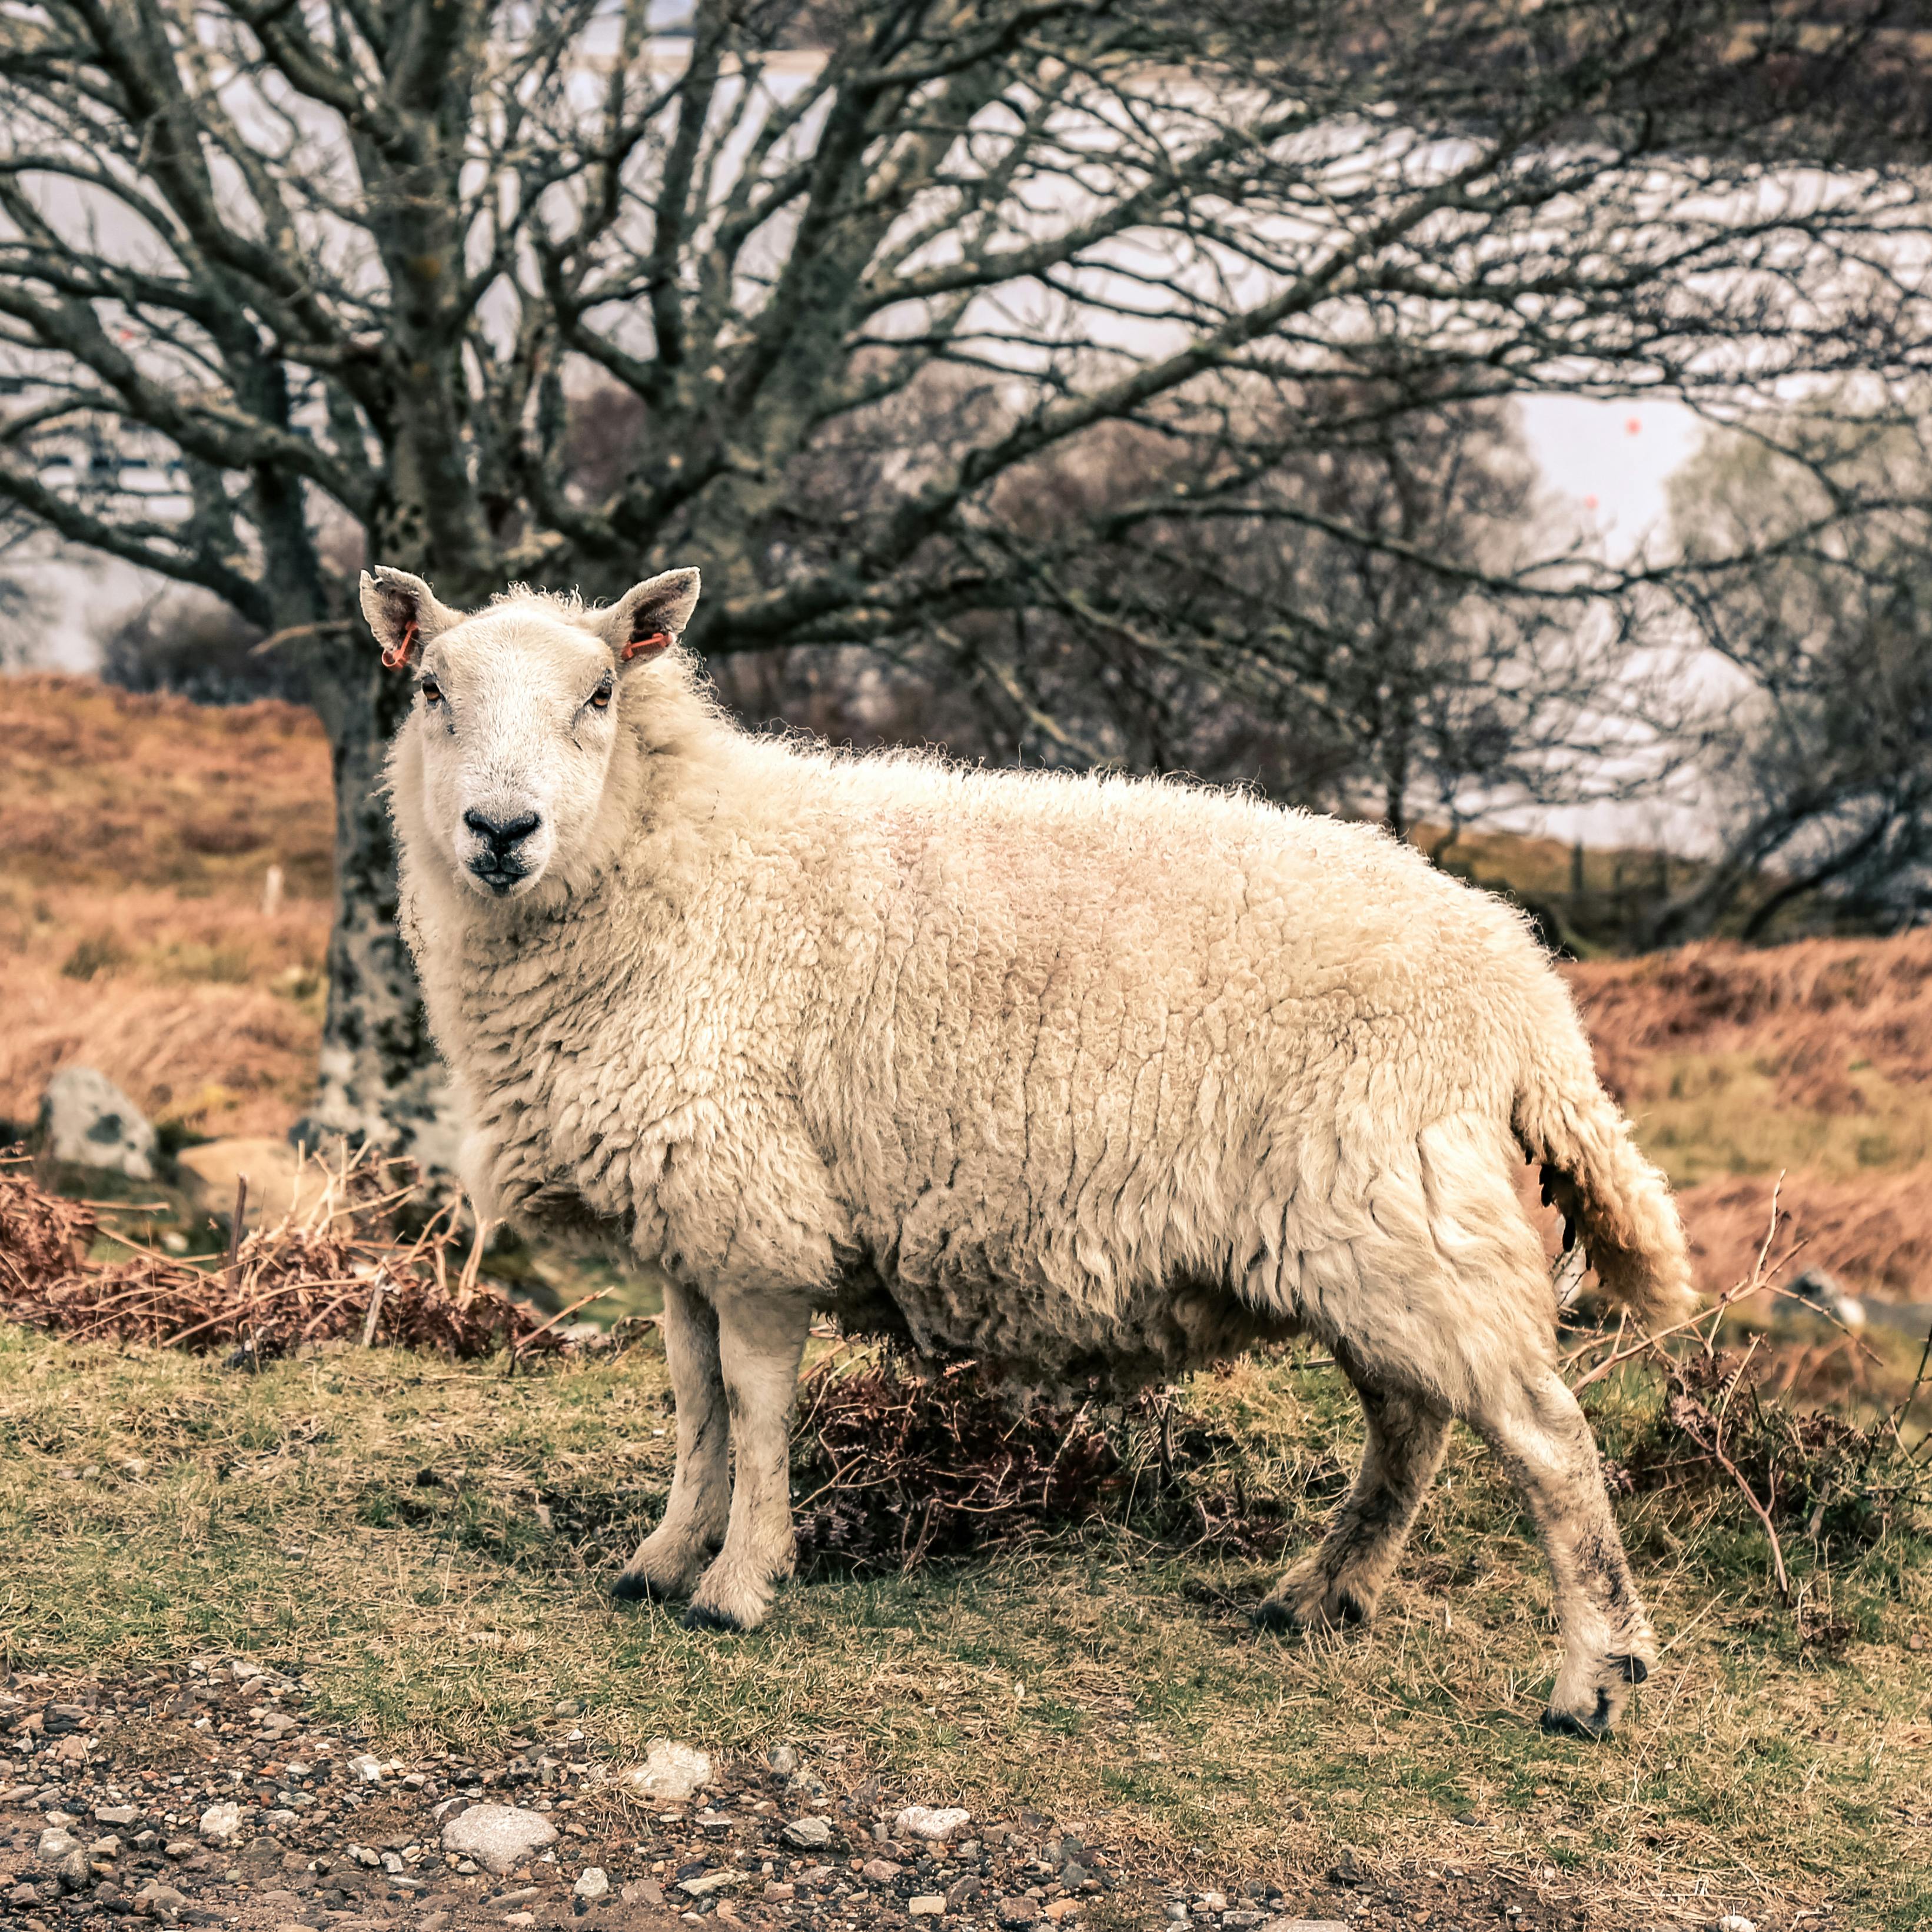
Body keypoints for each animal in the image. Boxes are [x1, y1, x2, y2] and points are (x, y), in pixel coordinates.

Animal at [363, 561, 1696, 1738]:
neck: (677, 864)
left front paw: (738, 1585)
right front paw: (660, 1558)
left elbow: (751, 1405)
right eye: (429, 687)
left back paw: (1591, 1679)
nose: (500, 830)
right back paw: (1322, 1595)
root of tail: (1521, 981)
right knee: (1413, 1422)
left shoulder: (758, 1213)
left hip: (1397, 1210)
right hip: (1364, 1232)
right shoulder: (691, 1219)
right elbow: (695, 1407)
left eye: (599, 694)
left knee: (1545, 1439)